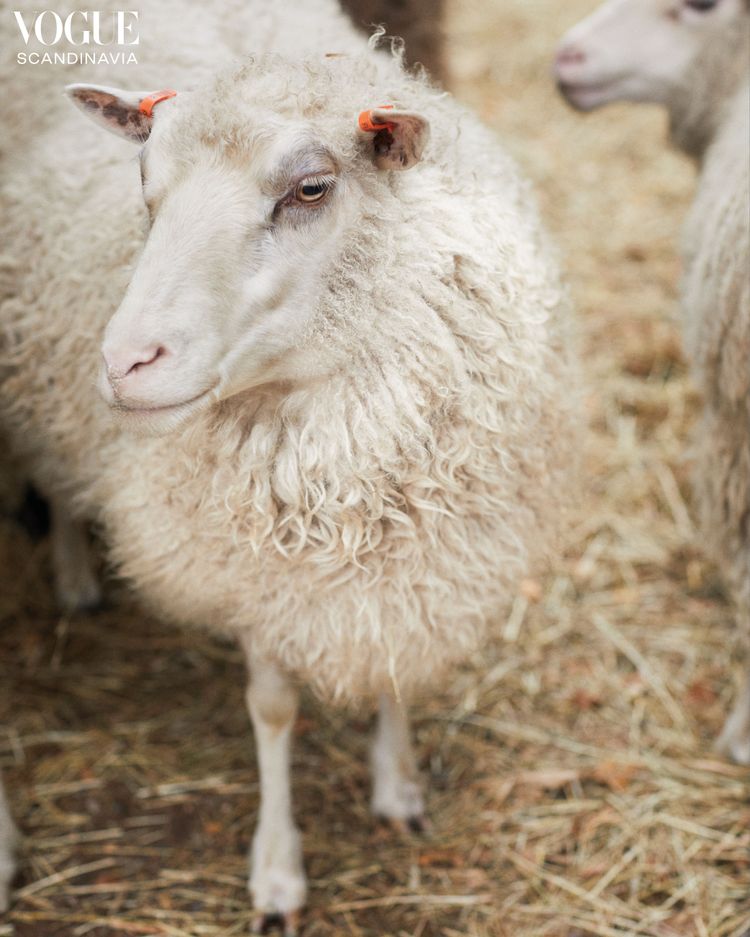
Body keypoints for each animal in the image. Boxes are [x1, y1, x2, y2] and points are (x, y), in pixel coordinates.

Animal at [0, 0, 578, 927]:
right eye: (145, 187)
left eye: (310, 189)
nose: (125, 362)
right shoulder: (253, 566)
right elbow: (271, 709)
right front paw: (276, 869)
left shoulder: (415, 555)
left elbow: (392, 662)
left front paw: (399, 786)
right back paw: (74, 573)